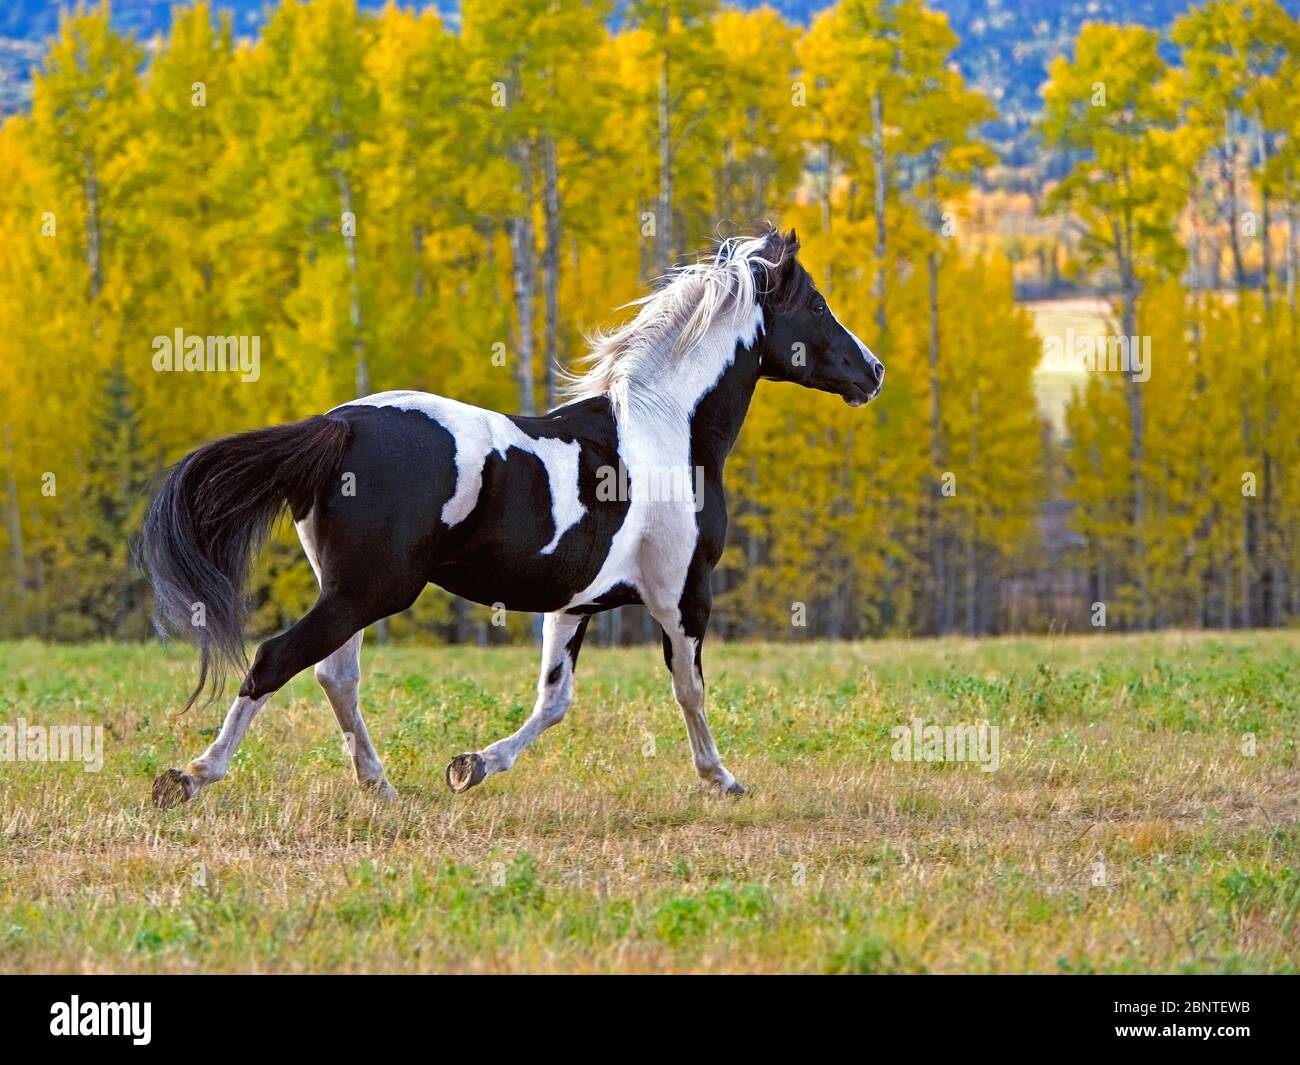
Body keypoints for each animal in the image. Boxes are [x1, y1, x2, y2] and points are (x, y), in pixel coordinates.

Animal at [141, 227, 884, 809]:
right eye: (817, 304)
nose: (872, 372)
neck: (669, 427)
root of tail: (341, 425)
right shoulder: (681, 594)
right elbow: (690, 690)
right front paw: (722, 779)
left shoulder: (575, 602)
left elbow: (554, 701)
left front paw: (470, 766)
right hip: (371, 590)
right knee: (278, 659)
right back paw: (191, 776)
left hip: (349, 589)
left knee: (334, 675)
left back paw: (379, 786)